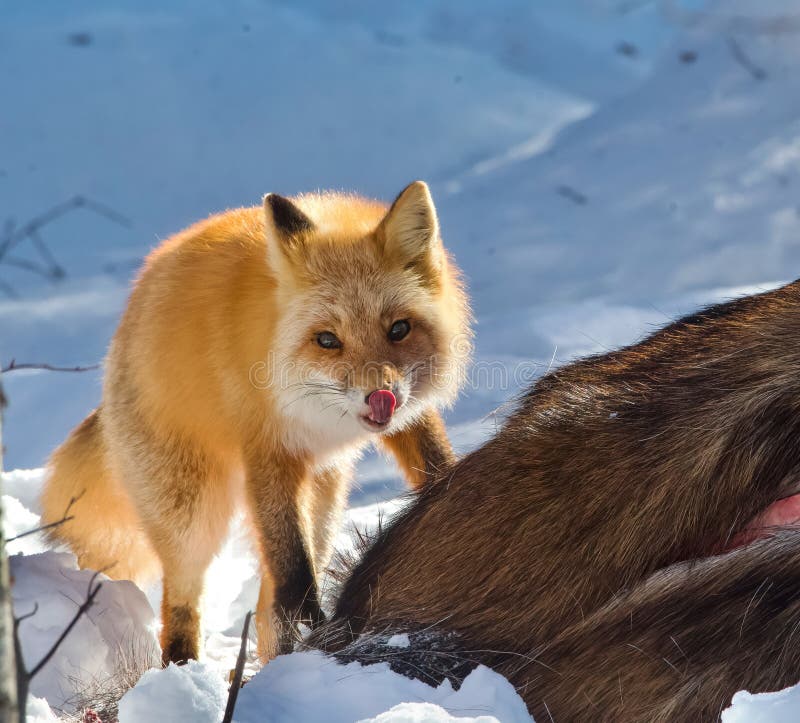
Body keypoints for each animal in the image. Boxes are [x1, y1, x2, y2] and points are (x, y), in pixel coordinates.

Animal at [40, 181, 471, 664]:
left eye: (399, 329)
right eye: (327, 340)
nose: (381, 396)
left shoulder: (408, 416)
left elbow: (436, 463)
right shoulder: (267, 448)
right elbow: (295, 571)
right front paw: (314, 625)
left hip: (324, 507)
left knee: (268, 606)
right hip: (192, 512)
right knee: (183, 596)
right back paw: (185, 666)